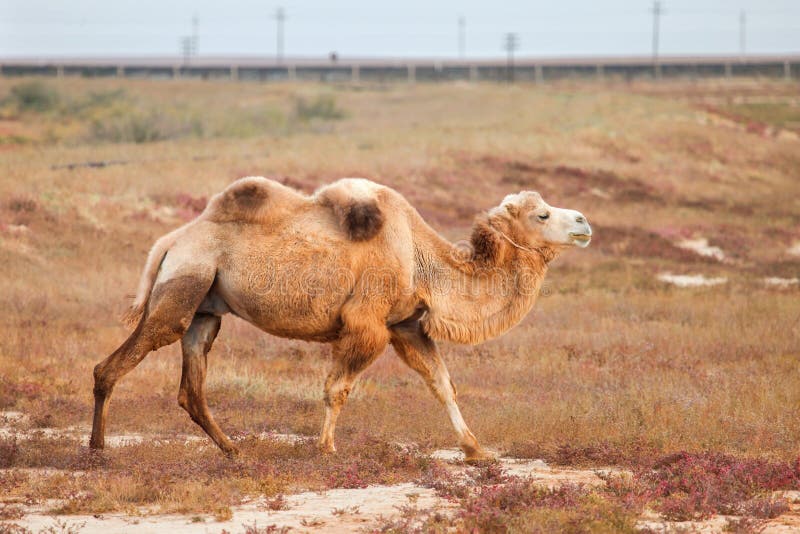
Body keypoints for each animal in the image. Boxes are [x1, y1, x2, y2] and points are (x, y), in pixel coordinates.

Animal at [89, 177, 592, 461]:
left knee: (191, 383)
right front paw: (327, 449)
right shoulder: (366, 324)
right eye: (543, 214)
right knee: (114, 364)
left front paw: (477, 451)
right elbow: (338, 388)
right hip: (185, 282)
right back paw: (97, 451)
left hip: (206, 307)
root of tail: (171, 240)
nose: (584, 222)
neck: (422, 259)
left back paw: (234, 451)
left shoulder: (405, 326)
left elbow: (442, 384)